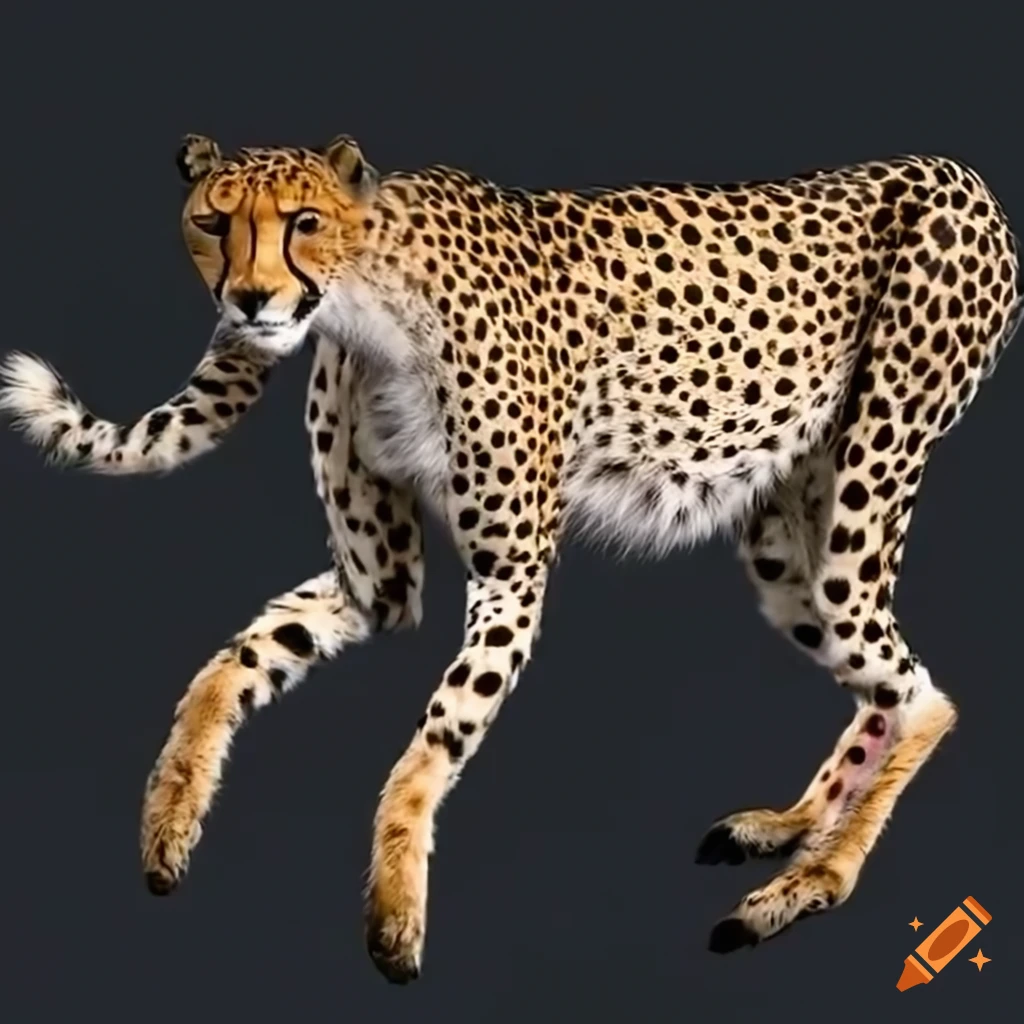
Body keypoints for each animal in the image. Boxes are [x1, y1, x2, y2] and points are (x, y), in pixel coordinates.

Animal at [2, 132, 1020, 985]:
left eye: (302, 222)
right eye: (214, 222)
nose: (251, 302)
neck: (369, 297)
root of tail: (953, 170)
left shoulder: (510, 575)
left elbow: (433, 741)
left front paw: (394, 911)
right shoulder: (375, 583)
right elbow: (234, 664)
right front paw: (170, 818)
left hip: (868, 482)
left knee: (923, 694)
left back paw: (812, 880)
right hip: (783, 539)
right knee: (885, 680)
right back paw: (793, 827)